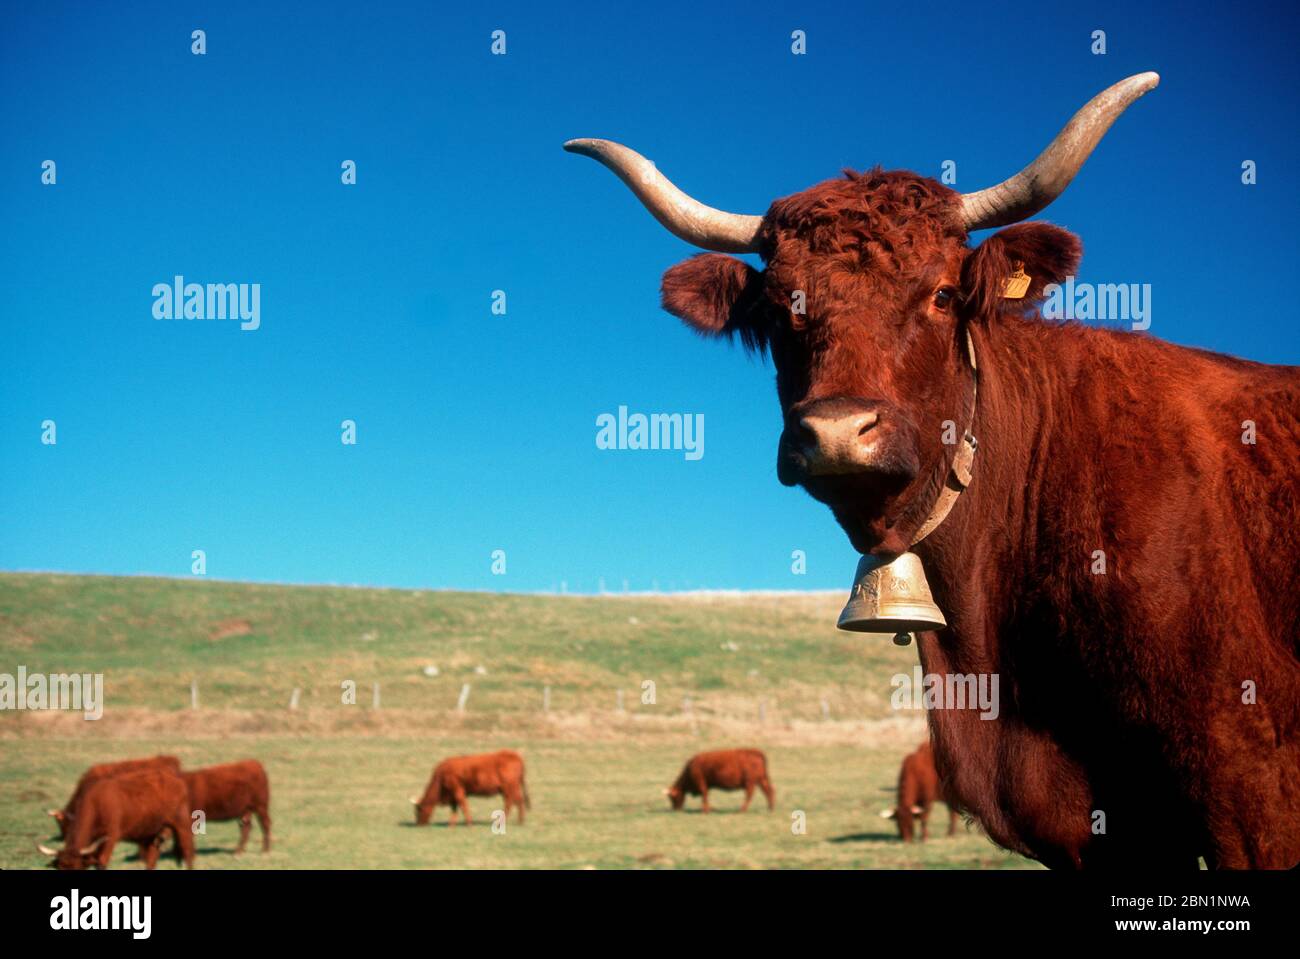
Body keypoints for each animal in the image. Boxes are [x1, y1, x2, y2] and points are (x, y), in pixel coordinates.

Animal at [37, 766, 194, 870]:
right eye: (60, 868)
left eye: (77, 868)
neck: (96, 803)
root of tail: (174, 779)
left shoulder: (111, 838)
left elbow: (102, 863)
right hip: (150, 832)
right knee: (152, 858)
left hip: (181, 824)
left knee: (187, 852)